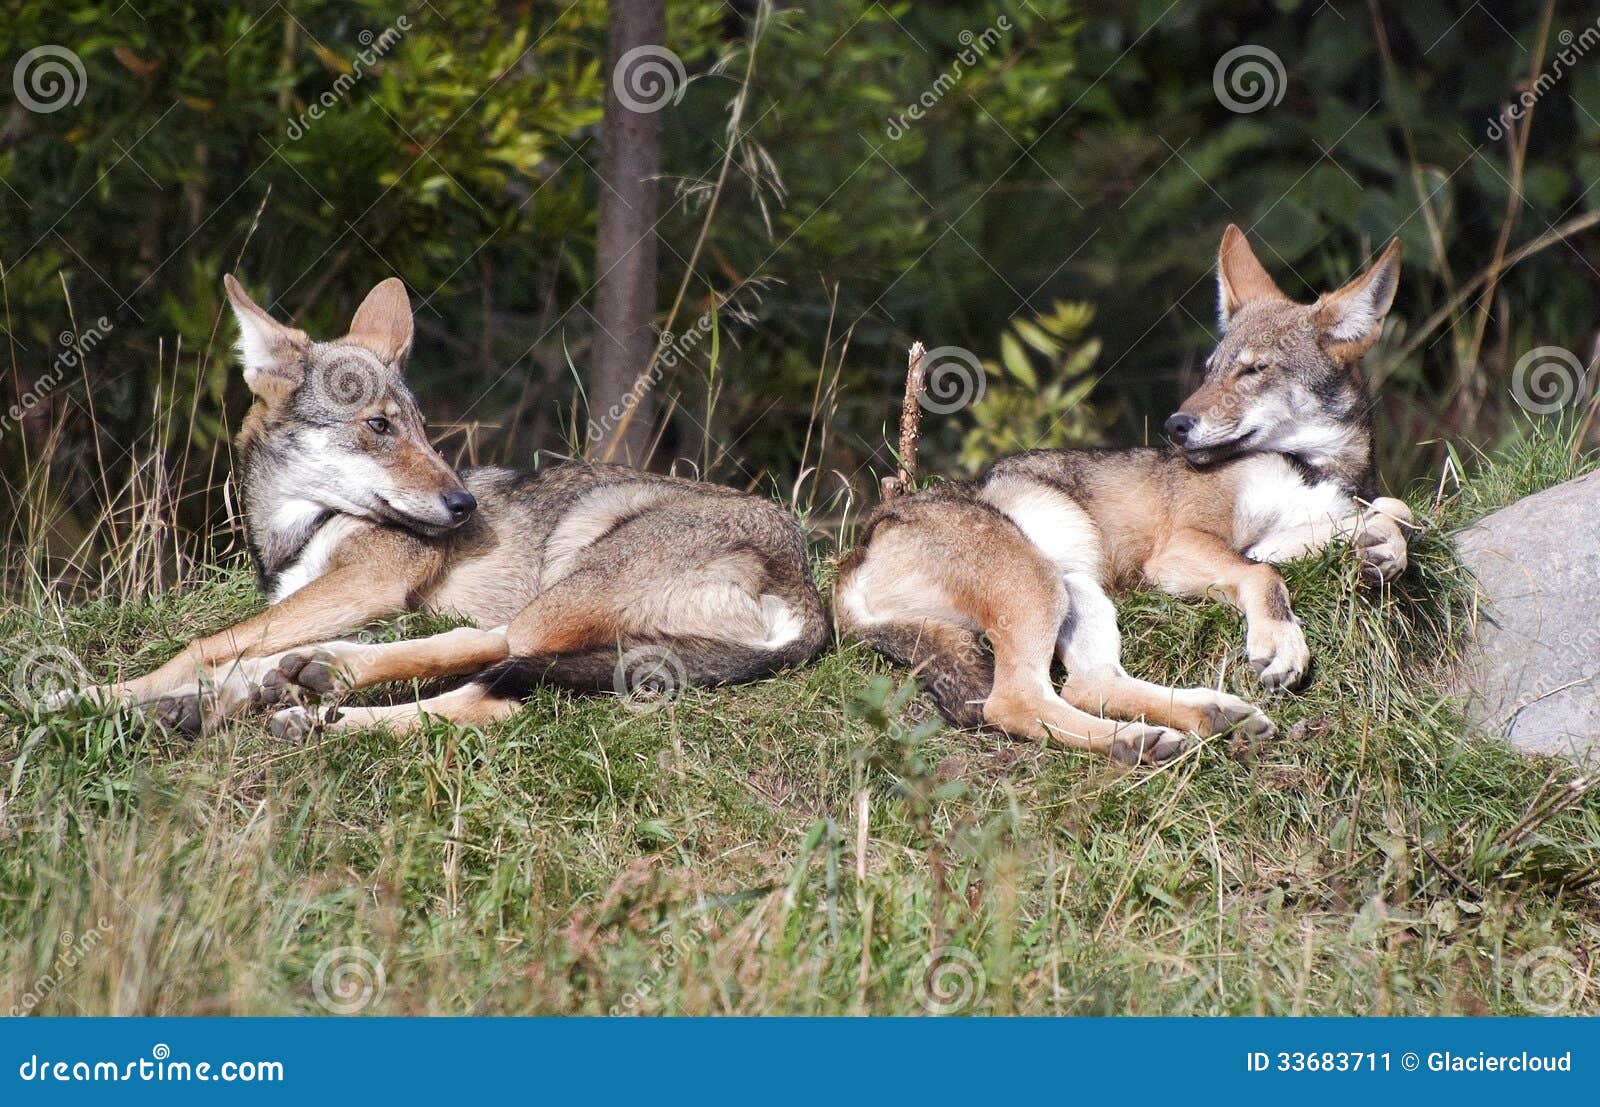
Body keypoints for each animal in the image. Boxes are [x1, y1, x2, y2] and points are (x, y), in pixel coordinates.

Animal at [54, 275, 828, 736]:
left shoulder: (370, 582)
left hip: (569, 572)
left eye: (424, 429)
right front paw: (163, 699)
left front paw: (95, 694)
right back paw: (299, 700)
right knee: (490, 690)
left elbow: (203, 642)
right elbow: (235, 642)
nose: (462, 506)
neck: (301, 529)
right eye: (379, 426)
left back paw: (318, 681)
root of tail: (810, 596)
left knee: (490, 649)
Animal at [833, 225, 1414, 765]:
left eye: (1254, 369)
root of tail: (853, 560)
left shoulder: (1274, 534)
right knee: (1016, 701)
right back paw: (1140, 740)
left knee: (1086, 686)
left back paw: (1195, 722)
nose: (1176, 426)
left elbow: (1392, 511)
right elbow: (1265, 576)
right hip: (1039, 584)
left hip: (1078, 592)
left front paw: (1381, 552)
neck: (1312, 467)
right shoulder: (1177, 550)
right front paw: (1280, 642)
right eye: (1211, 372)